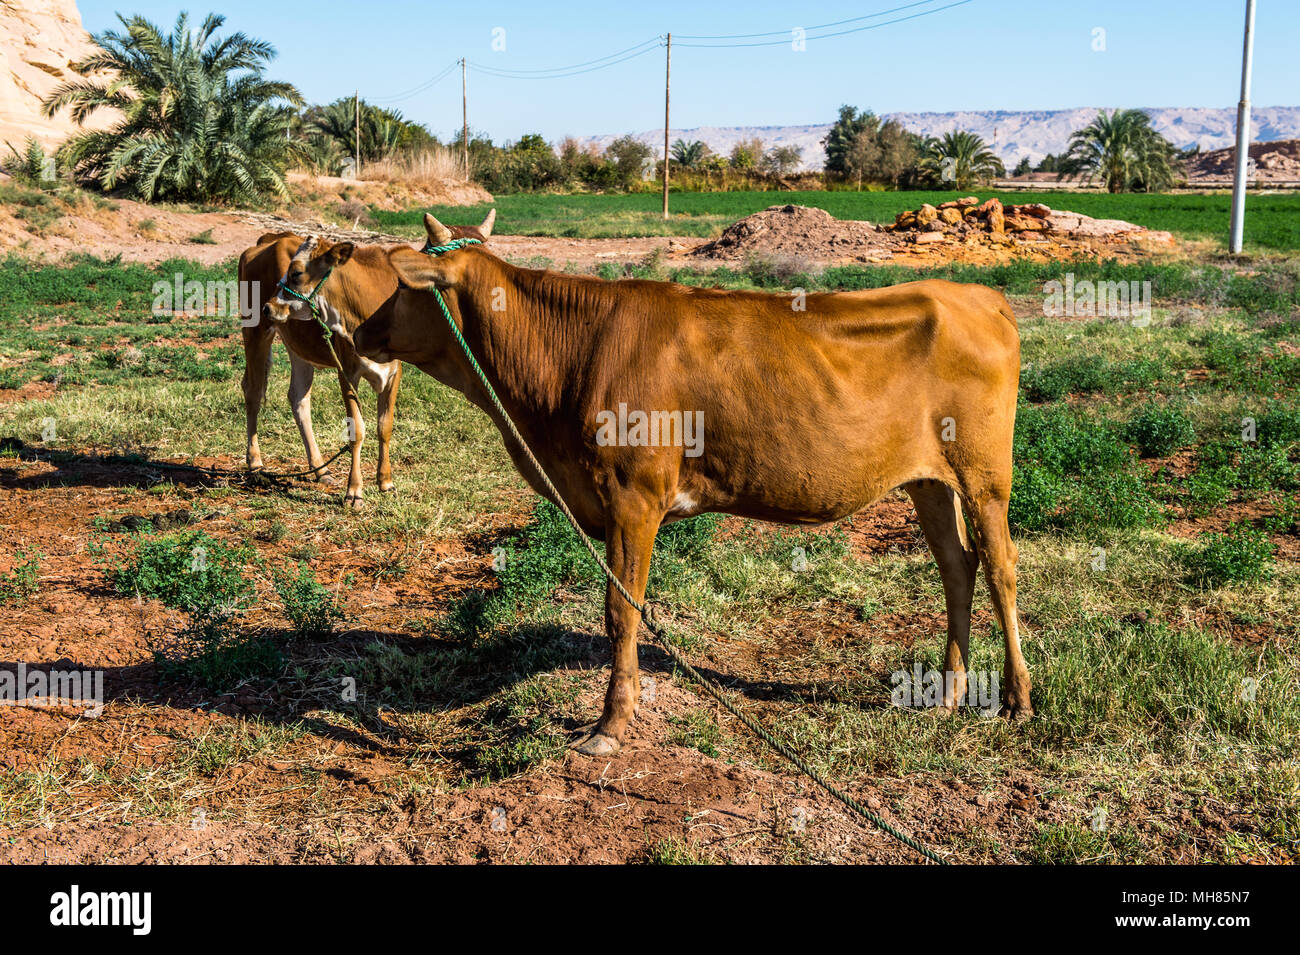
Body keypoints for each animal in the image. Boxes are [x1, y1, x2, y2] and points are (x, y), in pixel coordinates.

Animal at [238, 208, 496, 506]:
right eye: (295, 272)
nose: (270, 306)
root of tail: (269, 238)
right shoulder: (347, 373)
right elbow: (356, 430)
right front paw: (354, 491)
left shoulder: (394, 371)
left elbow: (384, 426)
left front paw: (385, 481)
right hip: (255, 330)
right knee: (253, 390)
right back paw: (255, 463)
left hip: (297, 344)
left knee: (299, 398)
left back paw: (321, 470)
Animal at [299, 213, 1031, 755]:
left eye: (402, 286)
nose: (357, 330)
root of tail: (978, 295)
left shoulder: (633, 497)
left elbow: (620, 609)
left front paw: (610, 724)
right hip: (929, 481)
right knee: (957, 565)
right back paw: (950, 692)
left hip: (985, 475)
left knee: (1000, 566)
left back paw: (1016, 699)